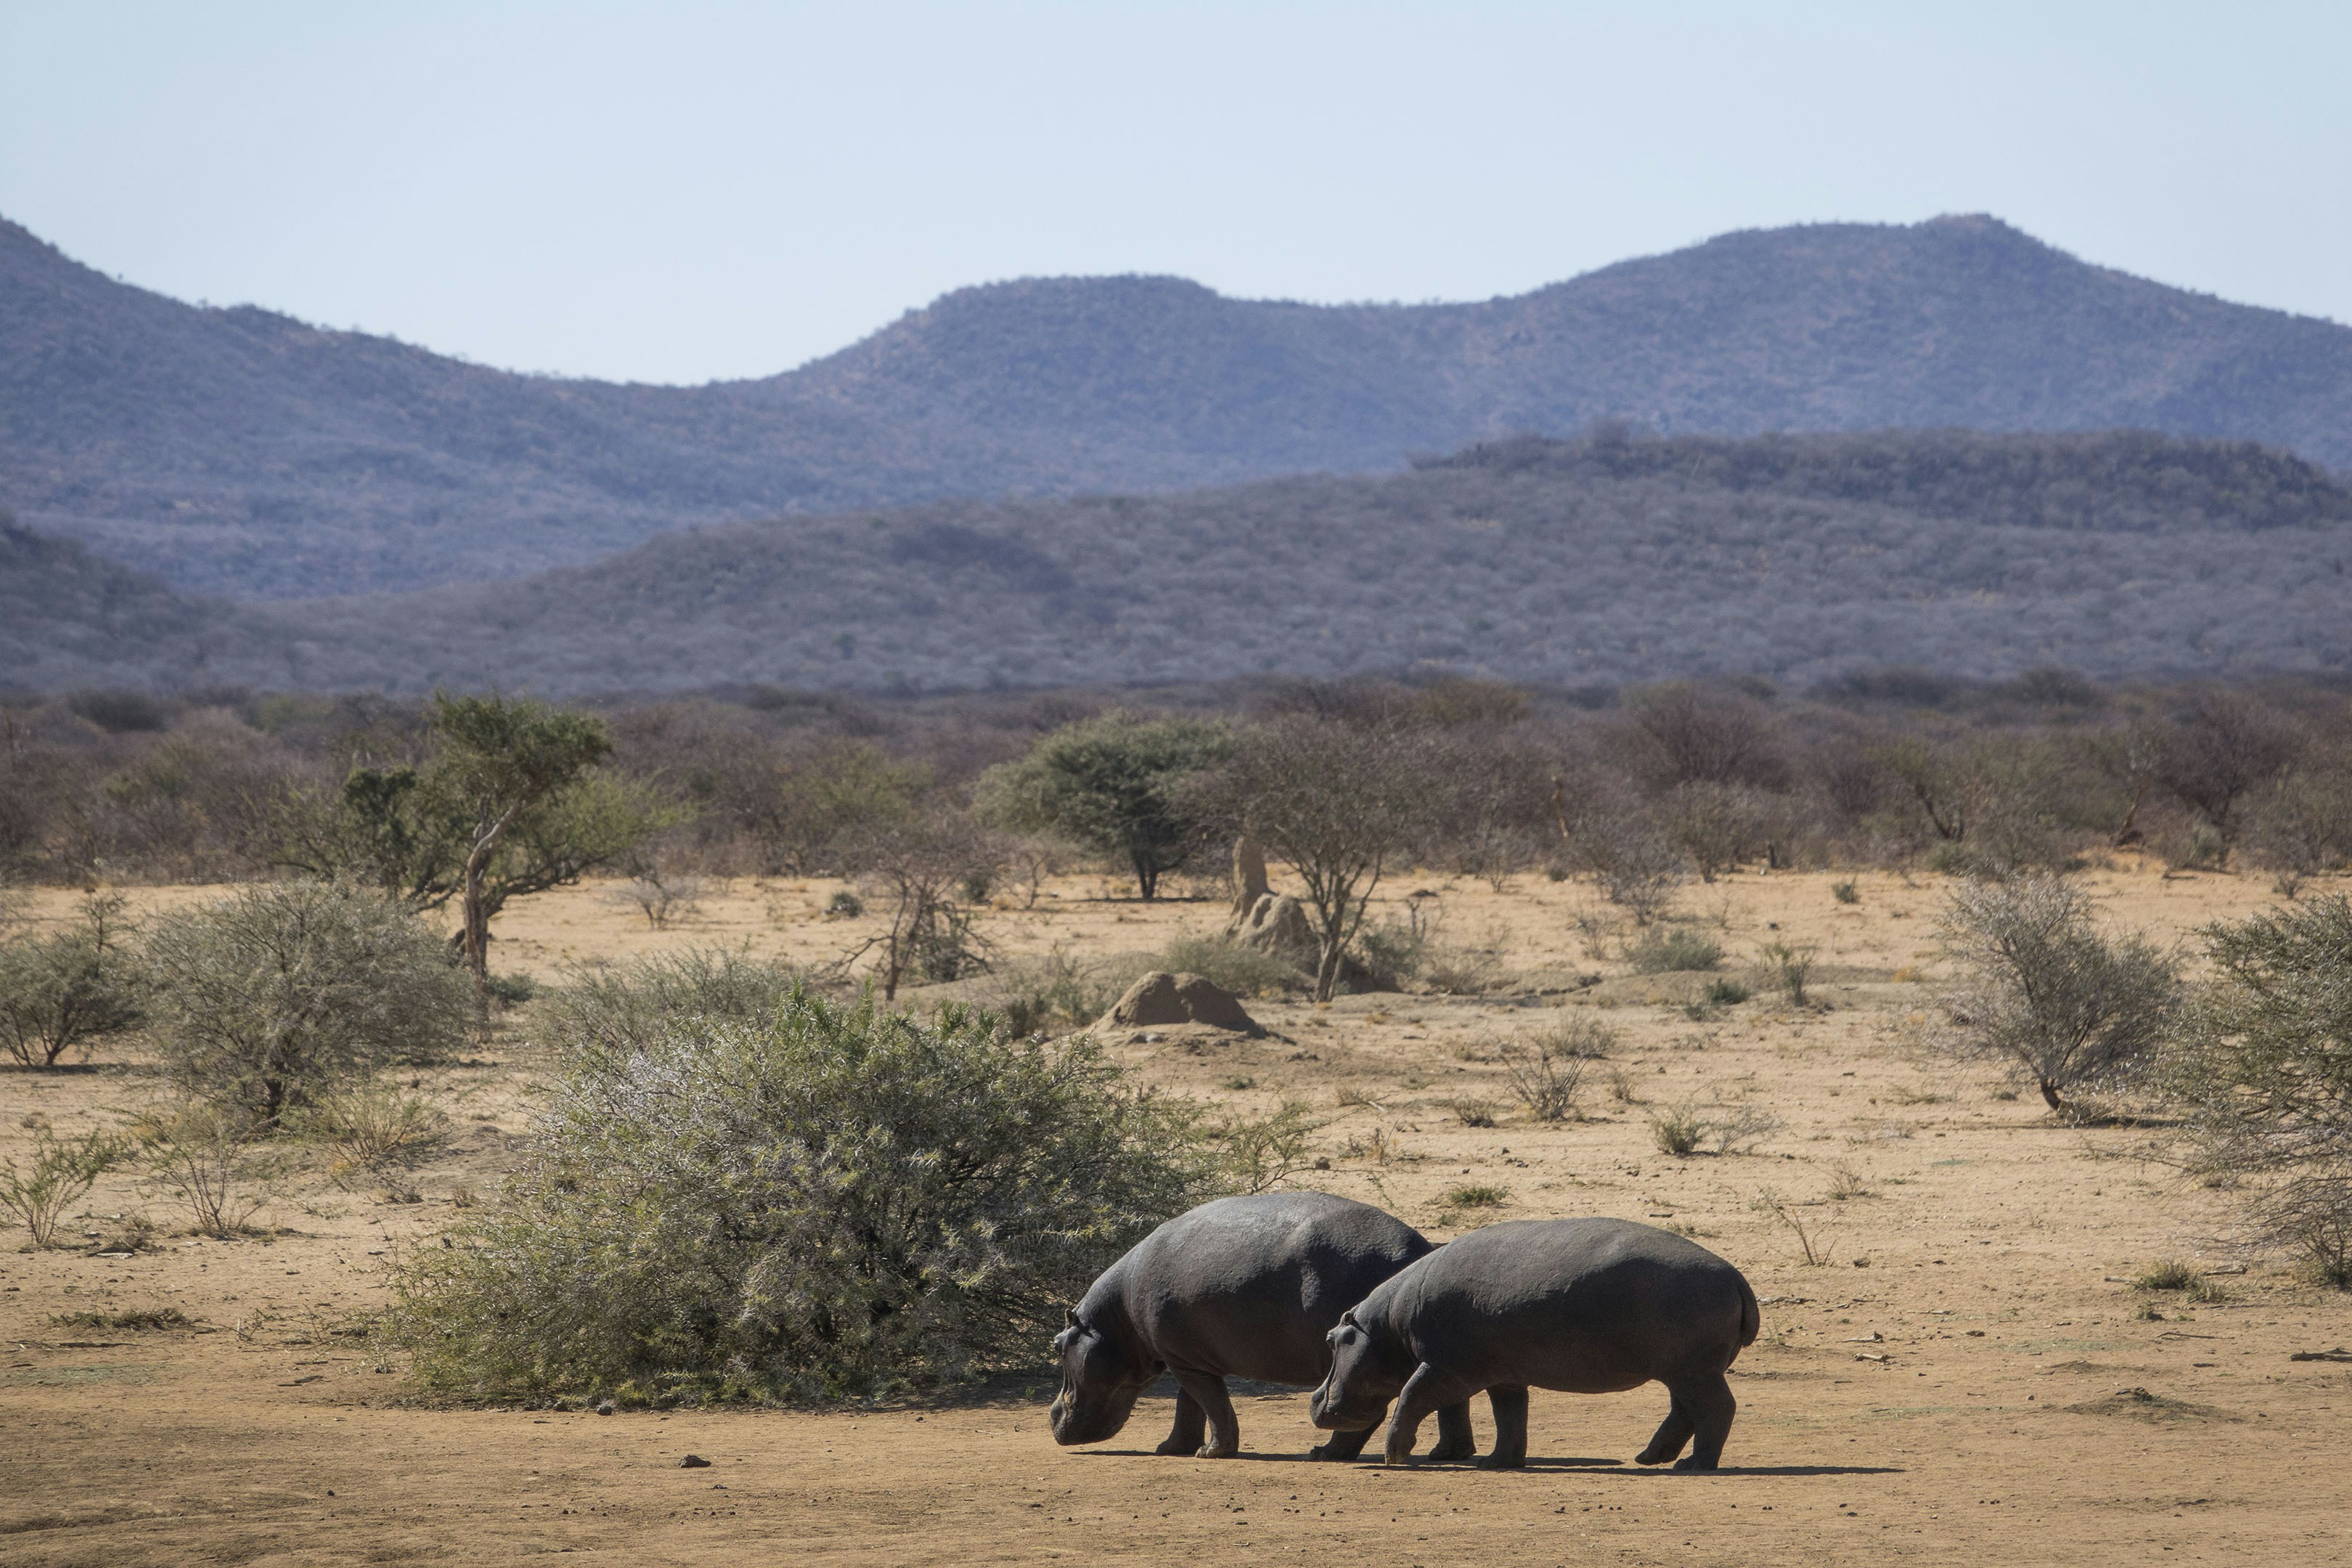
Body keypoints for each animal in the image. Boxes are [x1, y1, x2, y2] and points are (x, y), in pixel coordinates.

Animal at [1048, 1192, 1476, 1460]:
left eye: (1057, 1345)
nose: (1051, 1415)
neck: (1114, 1320)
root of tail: (1417, 1249)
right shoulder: (1189, 1358)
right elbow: (1192, 1405)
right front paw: (1171, 1449)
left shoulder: (1182, 1360)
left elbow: (1212, 1405)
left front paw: (1210, 1453)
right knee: (1452, 1396)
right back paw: (1447, 1454)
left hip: (1358, 1357)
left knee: (1365, 1410)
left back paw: (1324, 1454)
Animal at [1308, 1217, 1759, 1470]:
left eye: (1331, 1340)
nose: (1313, 1400)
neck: (1385, 1327)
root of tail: (1737, 1276)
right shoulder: (1504, 1375)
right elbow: (1510, 1416)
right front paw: (1496, 1463)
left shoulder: (1446, 1368)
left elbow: (1411, 1396)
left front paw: (1394, 1457)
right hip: (1682, 1370)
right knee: (1684, 1411)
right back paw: (1651, 1458)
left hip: (1694, 1370)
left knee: (1717, 1409)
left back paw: (1694, 1465)